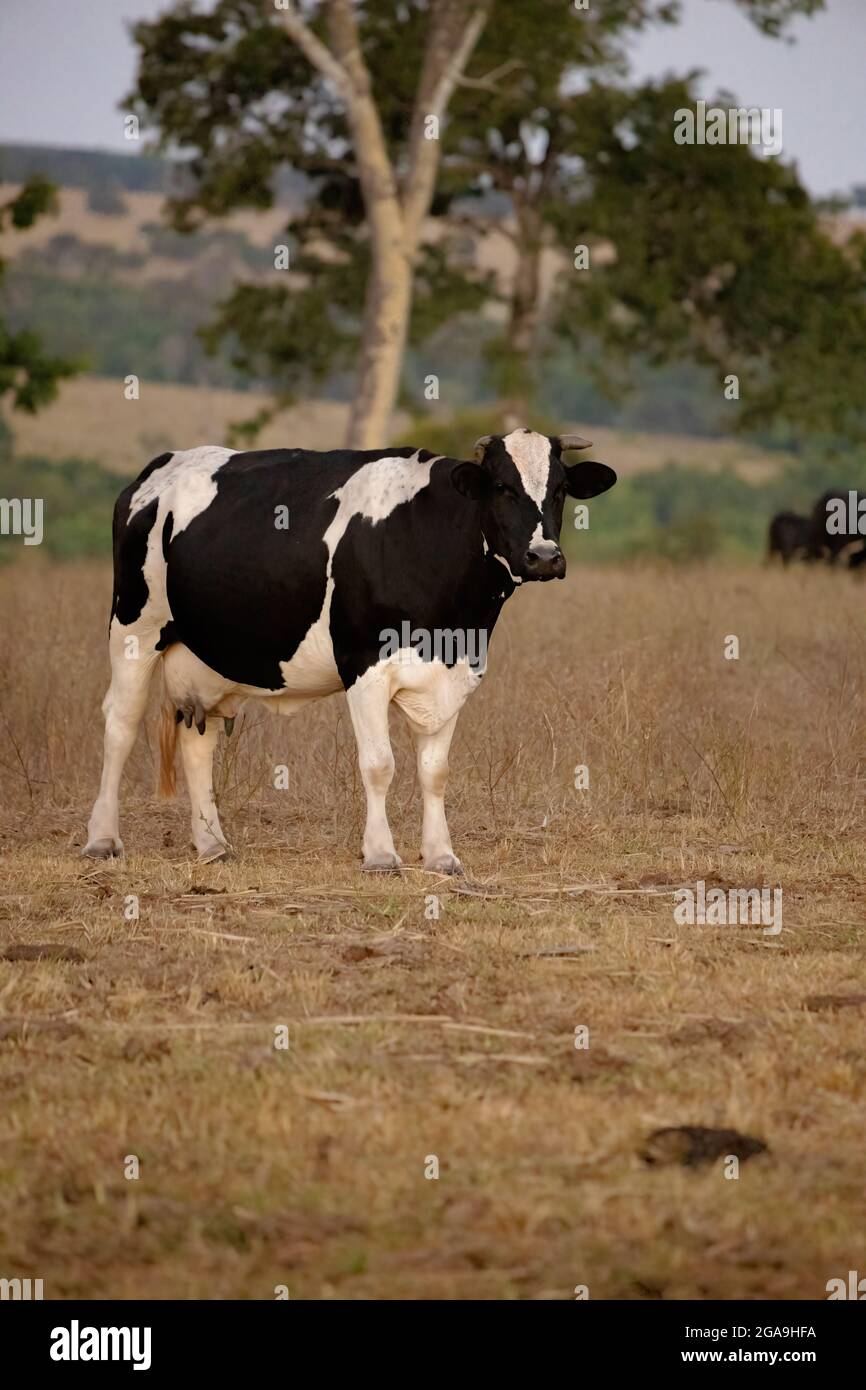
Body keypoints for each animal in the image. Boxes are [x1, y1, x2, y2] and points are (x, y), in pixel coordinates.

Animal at [83, 428, 616, 871]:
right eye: (503, 486)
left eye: (560, 490)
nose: (544, 557)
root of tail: (162, 467)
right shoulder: (364, 666)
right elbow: (379, 764)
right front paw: (380, 854)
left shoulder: (455, 673)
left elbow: (435, 772)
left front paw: (441, 856)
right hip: (134, 627)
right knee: (120, 725)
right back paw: (103, 839)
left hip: (209, 656)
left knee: (199, 740)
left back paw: (212, 843)